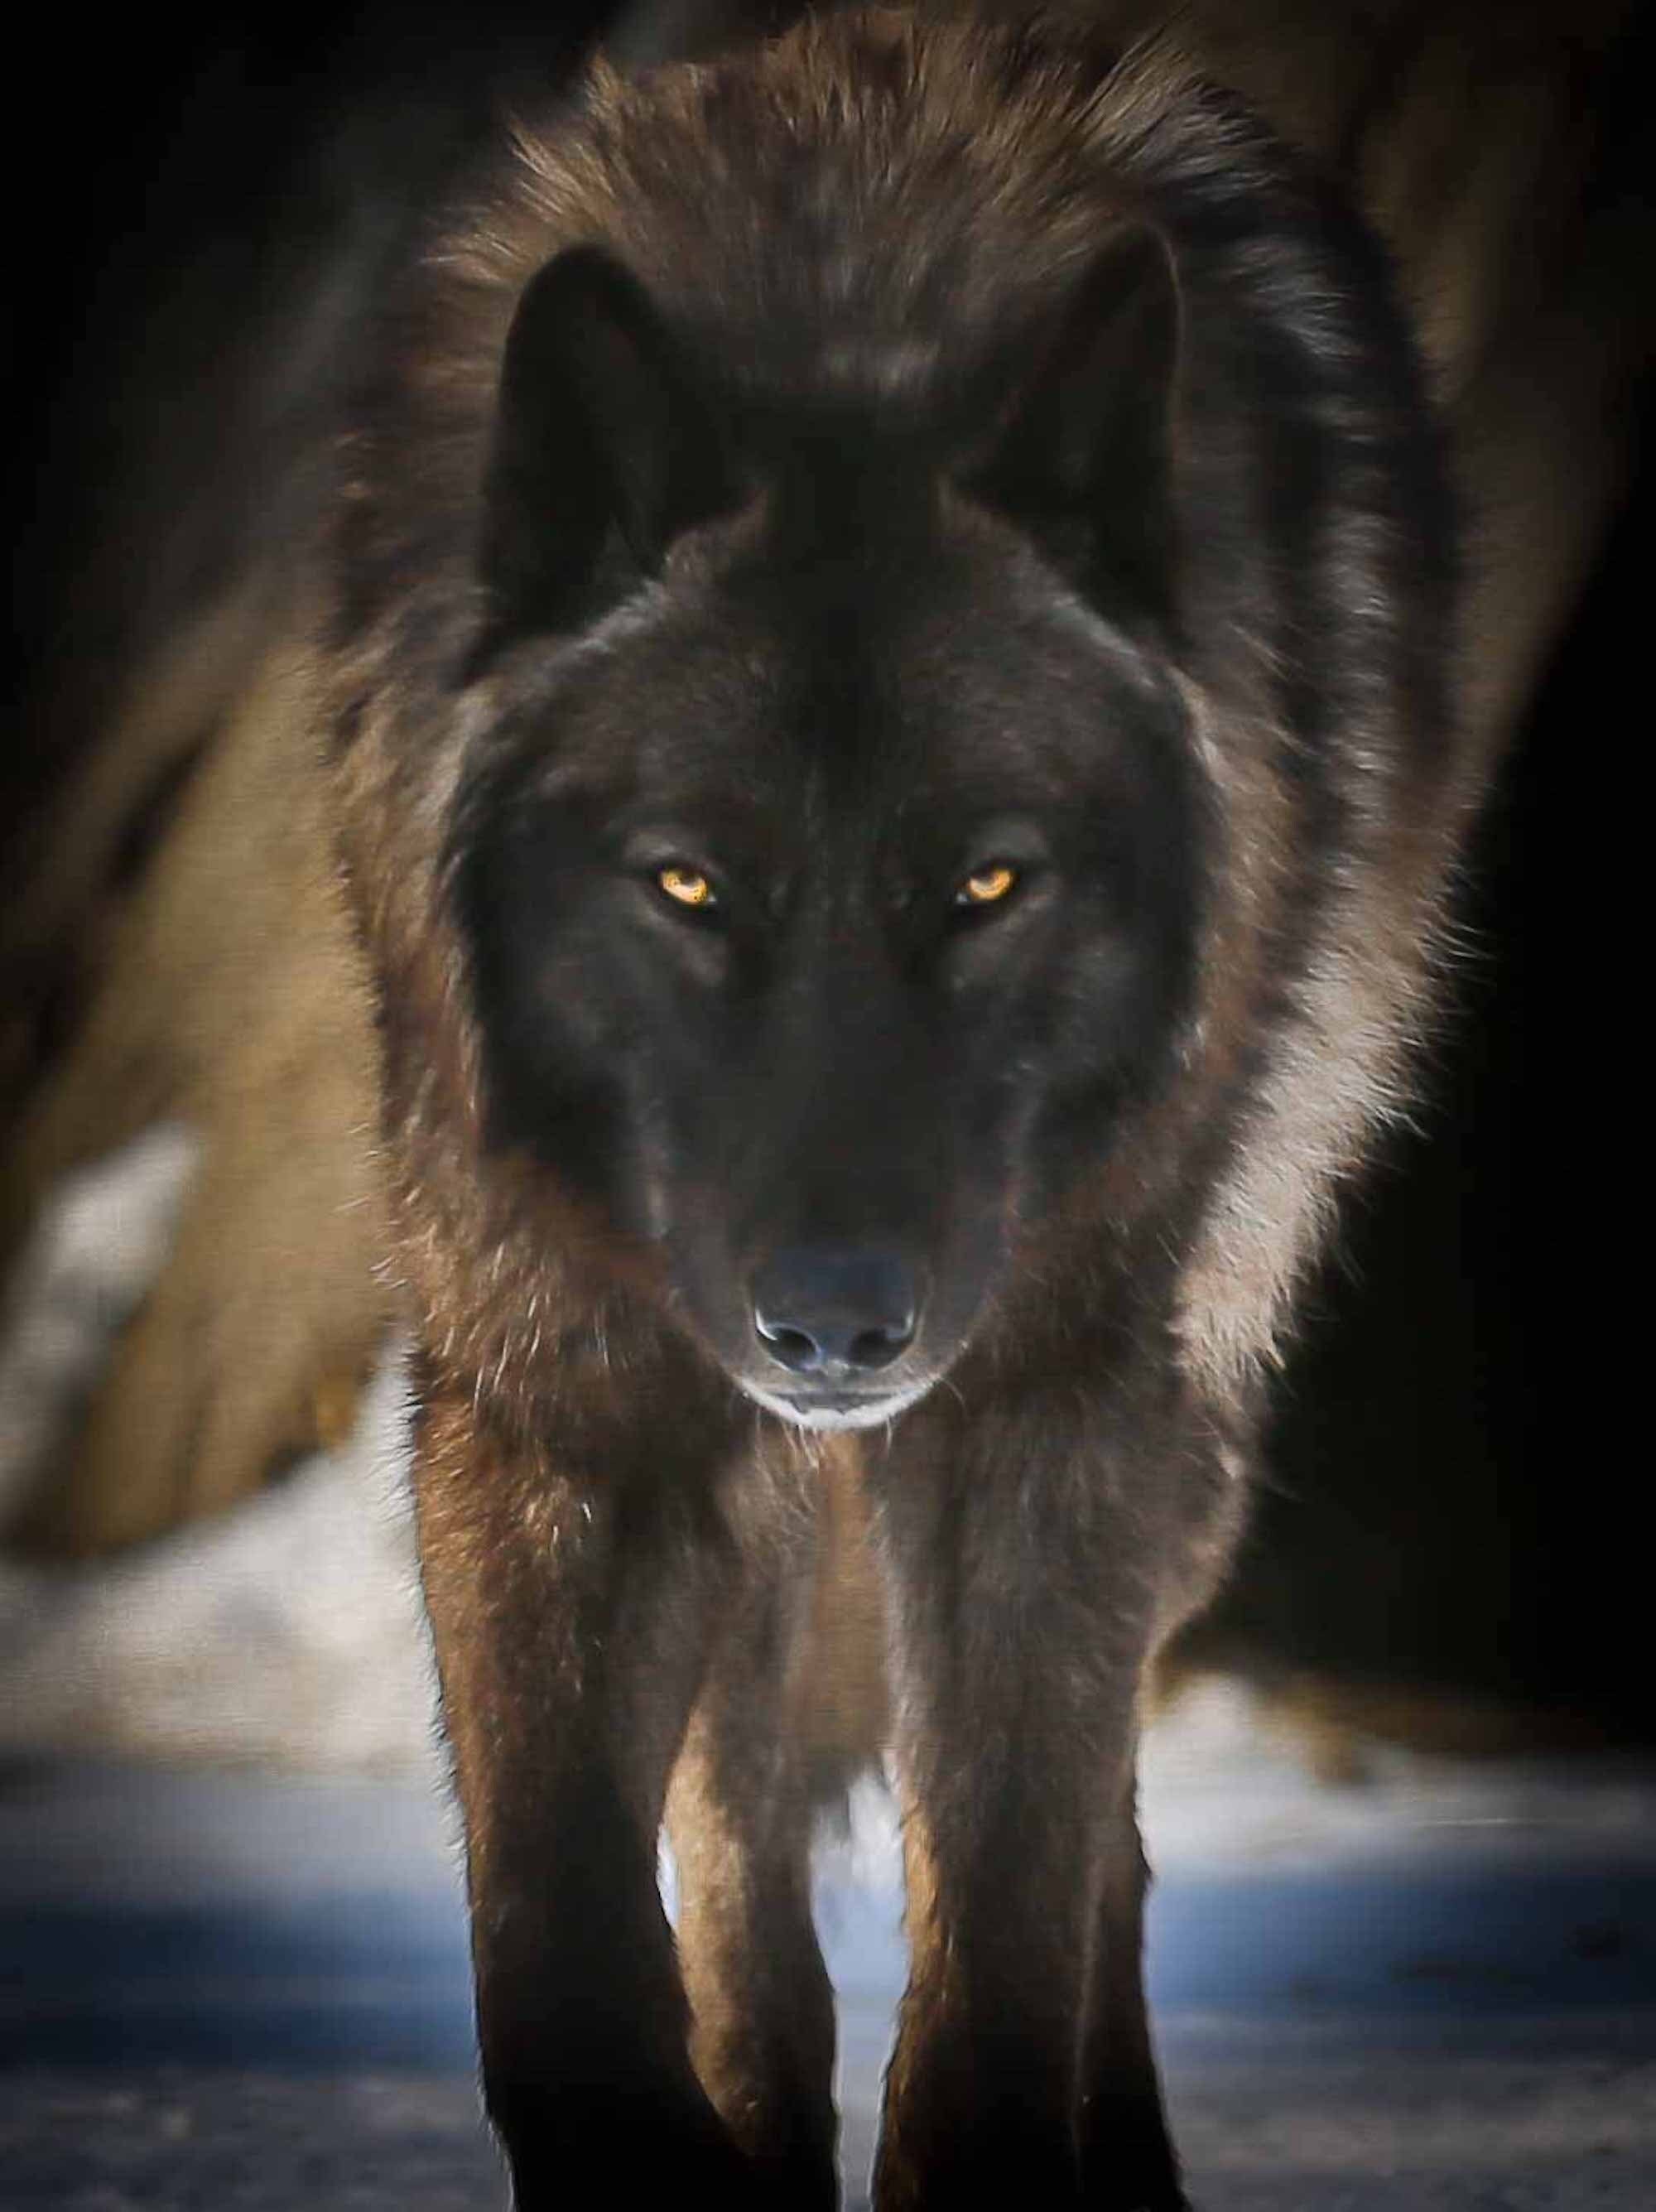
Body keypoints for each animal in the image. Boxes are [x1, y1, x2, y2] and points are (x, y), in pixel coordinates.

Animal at [5, 2, 1652, 2205]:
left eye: (991, 882)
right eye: (689, 883)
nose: (840, 1325)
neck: (855, 315)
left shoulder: (1050, 1408)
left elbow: (1005, 1931)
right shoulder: (557, 1396)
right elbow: (561, 1925)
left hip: (1176, 1419)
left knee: (1091, 1848)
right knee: (749, 1863)